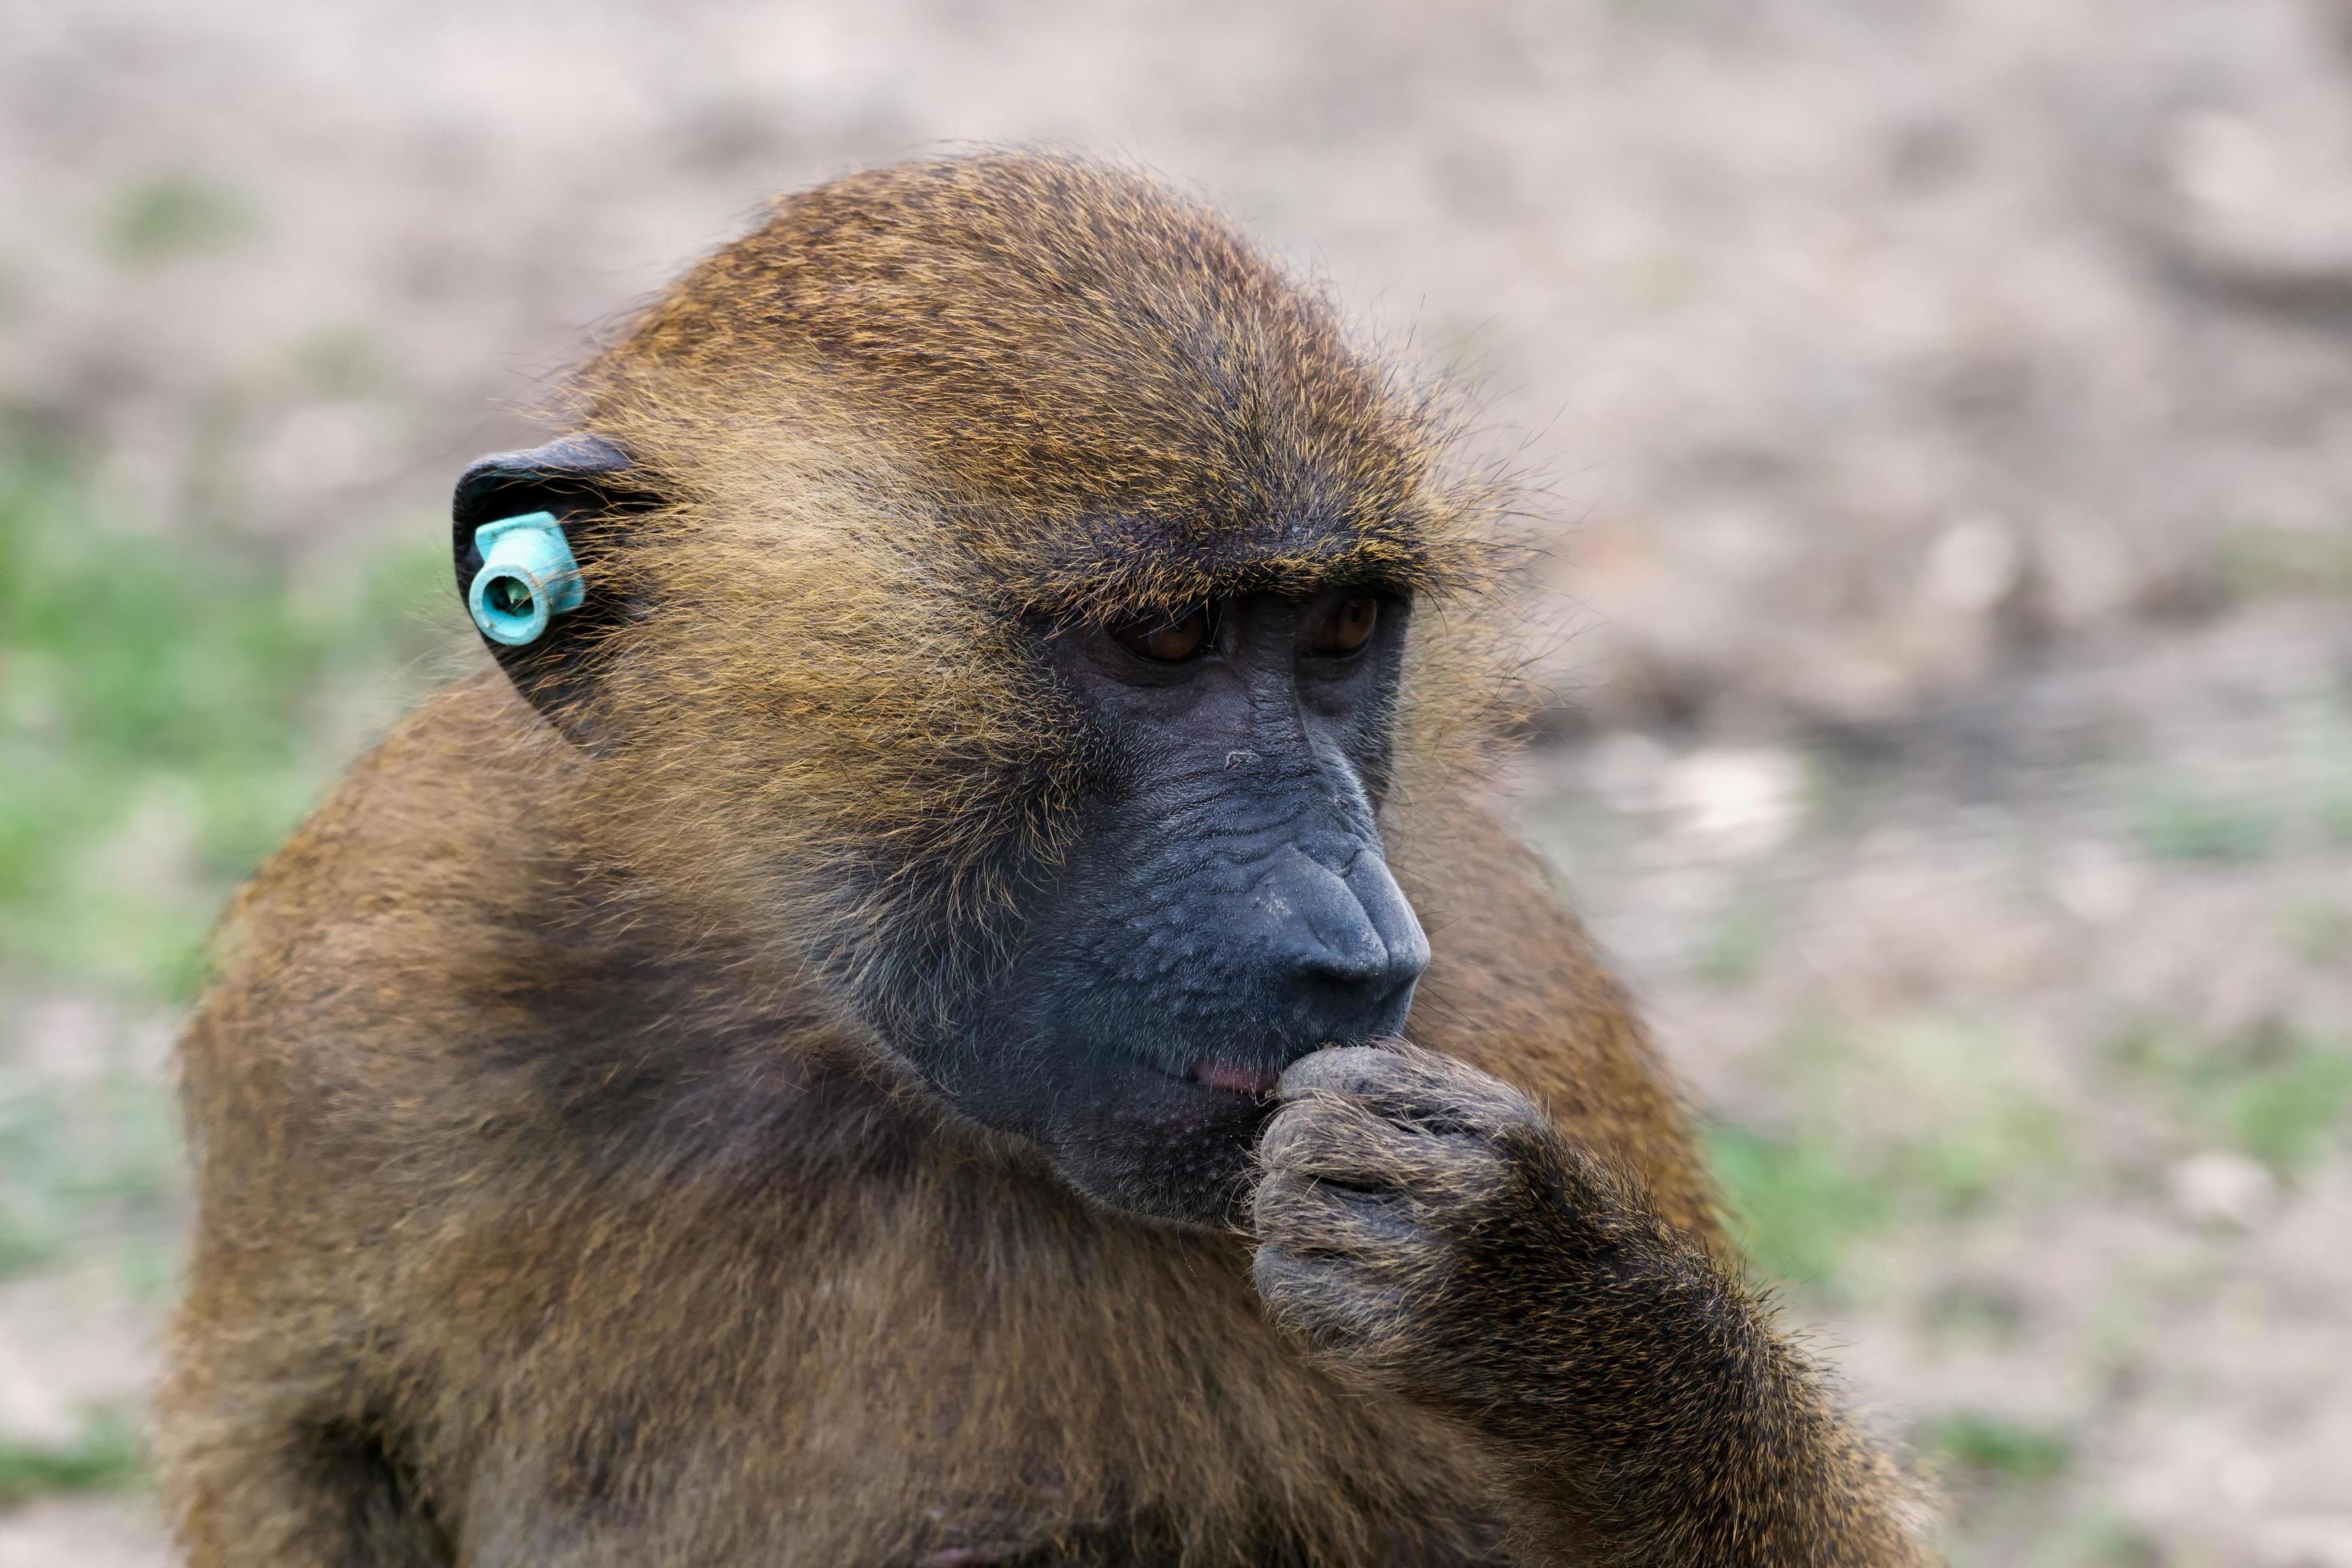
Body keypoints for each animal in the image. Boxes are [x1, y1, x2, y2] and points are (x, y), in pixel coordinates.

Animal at [156, 151, 1933, 1566]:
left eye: (1343, 630)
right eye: (1165, 639)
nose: (1359, 944)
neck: (850, 1074)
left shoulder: (1510, 997)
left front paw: (1541, 1299)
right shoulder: (371, 1006)